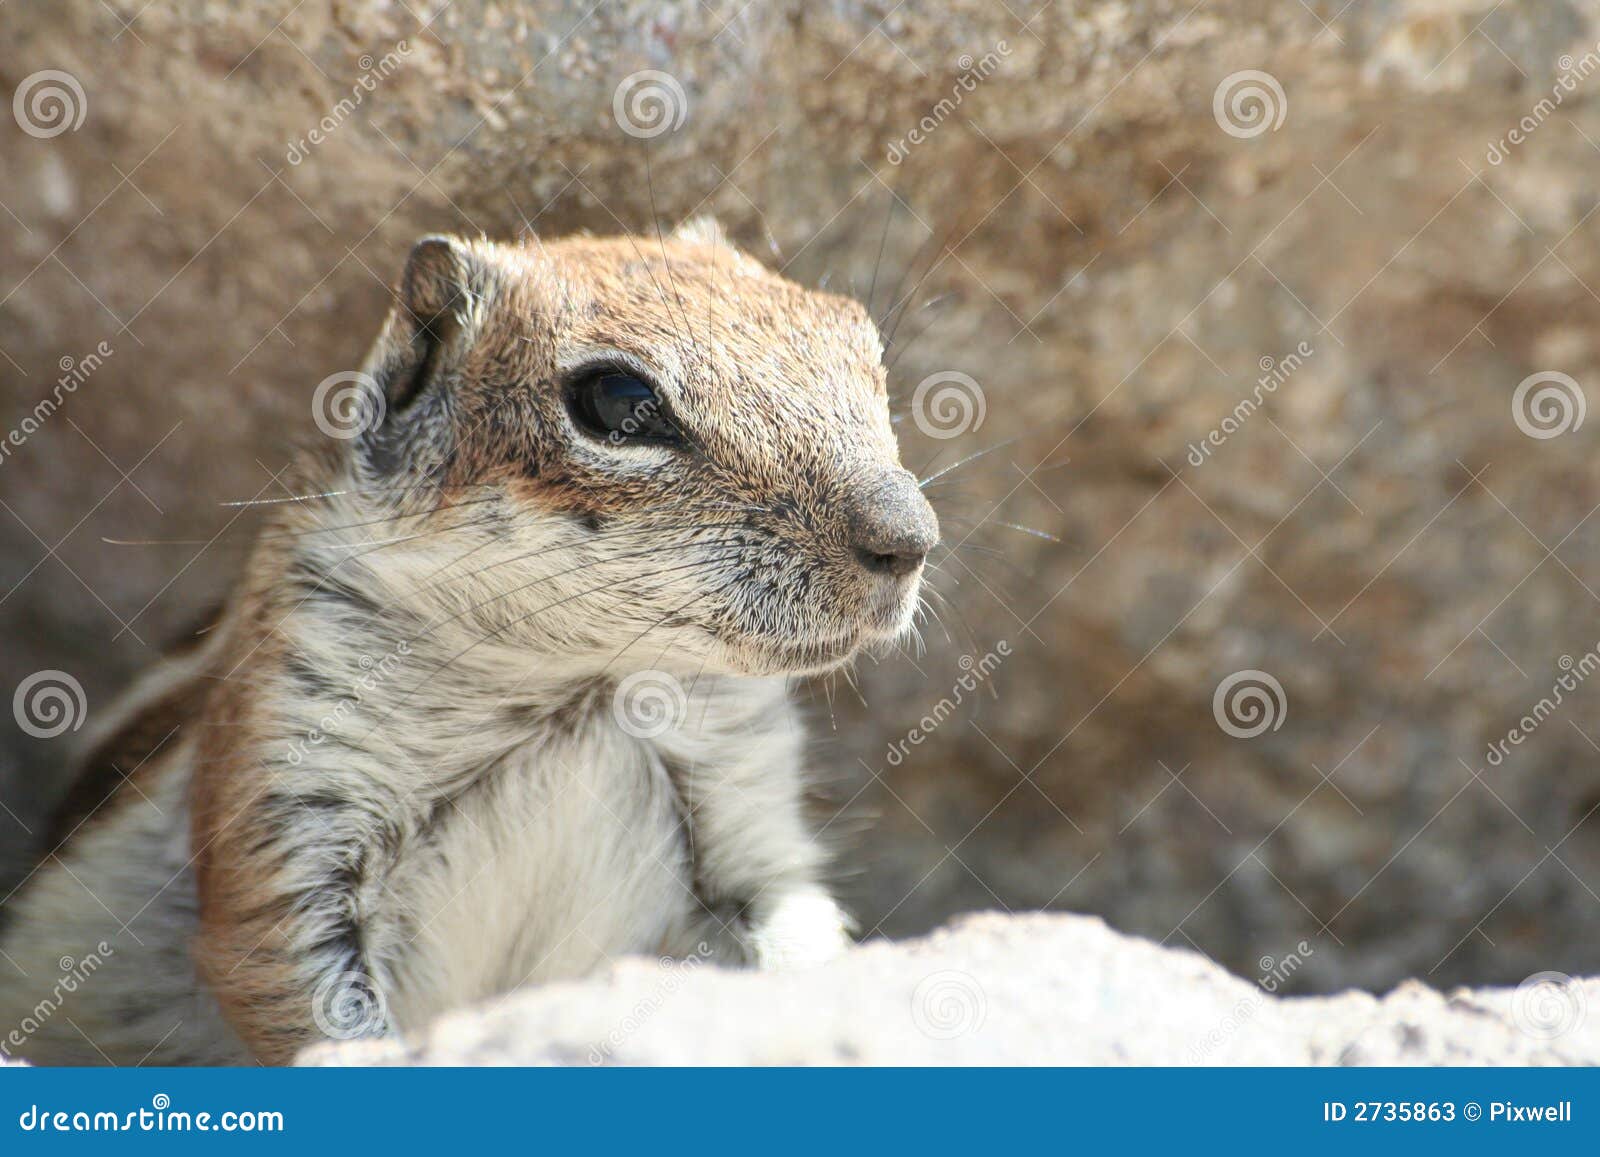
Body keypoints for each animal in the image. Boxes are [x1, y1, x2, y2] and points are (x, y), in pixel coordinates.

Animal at [0, 219, 940, 1065]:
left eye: (862, 340)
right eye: (616, 400)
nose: (910, 534)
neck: (577, 675)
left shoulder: (748, 822)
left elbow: (795, 927)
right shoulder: (292, 784)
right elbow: (287, 971)